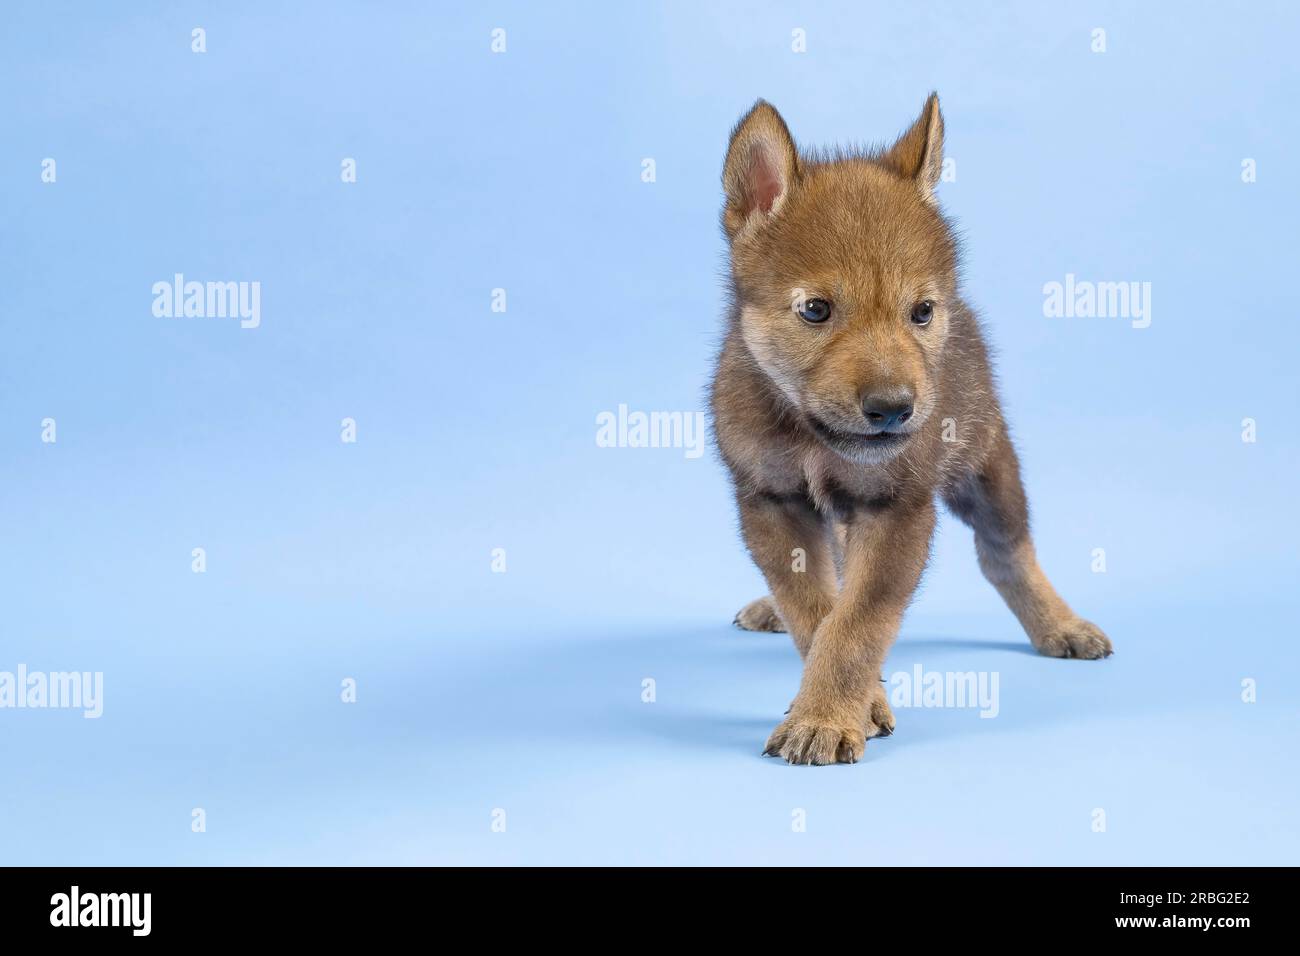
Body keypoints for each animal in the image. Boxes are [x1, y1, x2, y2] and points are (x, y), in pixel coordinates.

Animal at [710, 94, 1112, 765]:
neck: (813, 442)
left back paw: (1061, 624)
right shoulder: (771, 501)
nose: (893, 408)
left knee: (1008, 555)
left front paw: (827, 714)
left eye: (920, 311)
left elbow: (854, 623)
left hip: (987, 469)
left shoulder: (898, 508)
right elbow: (814, 609)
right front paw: (847, 701)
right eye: (815, 309)